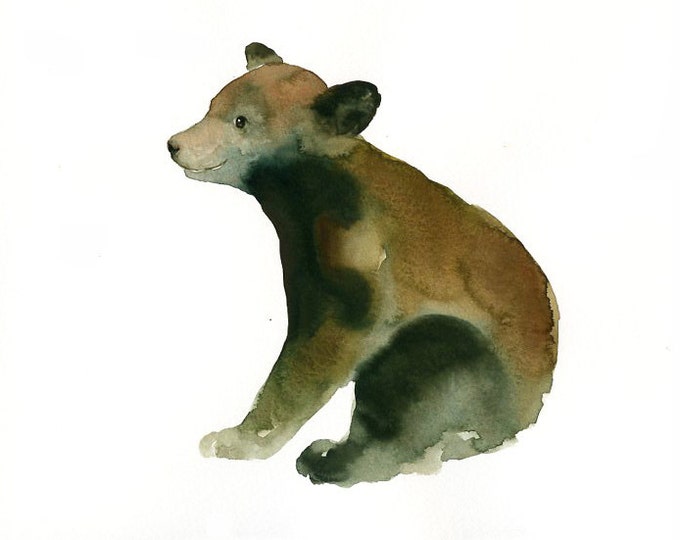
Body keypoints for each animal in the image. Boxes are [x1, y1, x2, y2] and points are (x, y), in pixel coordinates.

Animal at [167, 43, 558, 486]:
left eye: (241, 121)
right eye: (211, 106)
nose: (175, 144)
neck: (311, 191)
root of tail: (527, 413)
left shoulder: (362, 252)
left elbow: (329, 347)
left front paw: (240, 440)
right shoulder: (303, 264)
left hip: (465, 362)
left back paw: (338, 460)